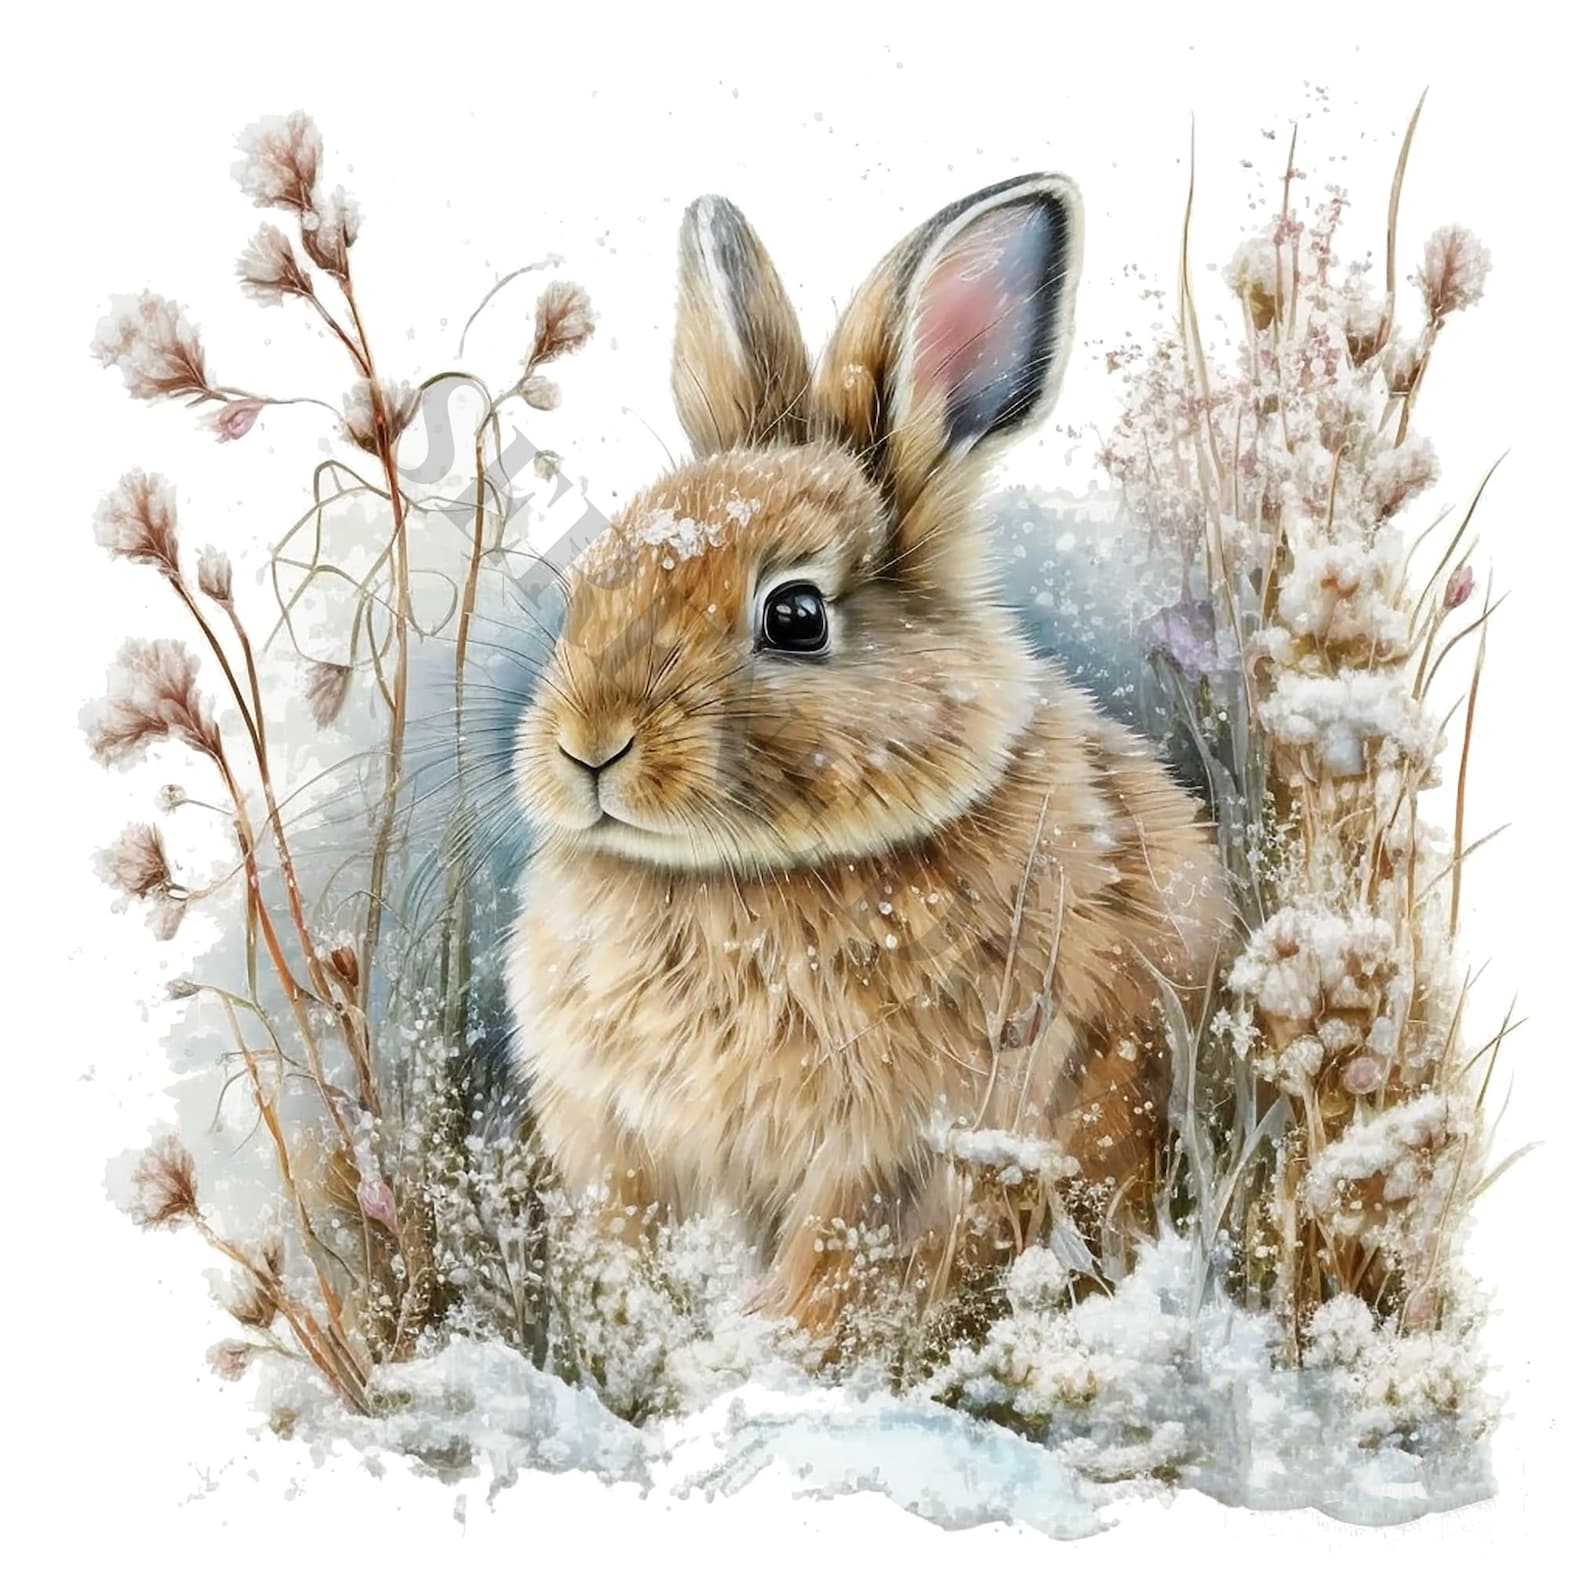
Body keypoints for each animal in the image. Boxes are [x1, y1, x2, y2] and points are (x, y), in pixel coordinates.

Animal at [506, 173, 1231, 1338]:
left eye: (795, 615)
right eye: (589, 583)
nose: (589, 747)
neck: (744, 876)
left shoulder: (902, 1152)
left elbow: (834, 1270)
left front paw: (761, 1348)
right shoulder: (621, 1149)